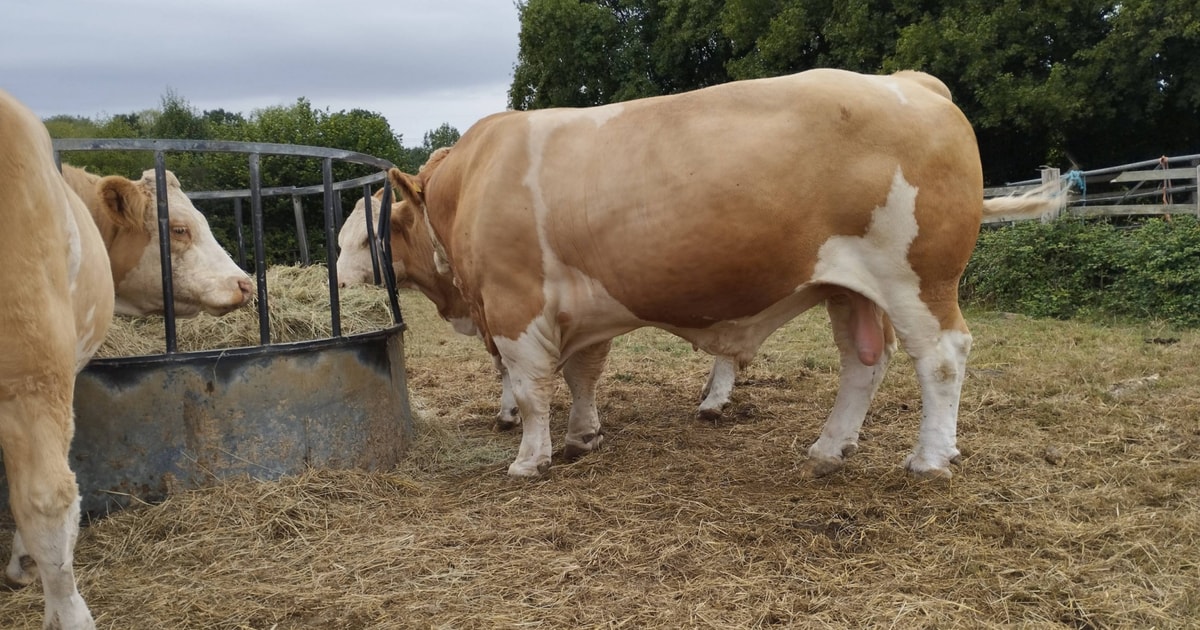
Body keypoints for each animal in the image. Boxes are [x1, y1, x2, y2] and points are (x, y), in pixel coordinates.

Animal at [386, 68, 1062, 479]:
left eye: (391, 222)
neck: (471, 180)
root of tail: (907, 81)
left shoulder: (514, 302)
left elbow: (530, 390)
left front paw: (530, 459)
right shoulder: (578, 309)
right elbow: (580, 376)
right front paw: (581, 437)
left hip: (917, 279)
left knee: (942, 357)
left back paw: (929, 456)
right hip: (851, 290)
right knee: (864, 362)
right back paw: (829, 447)